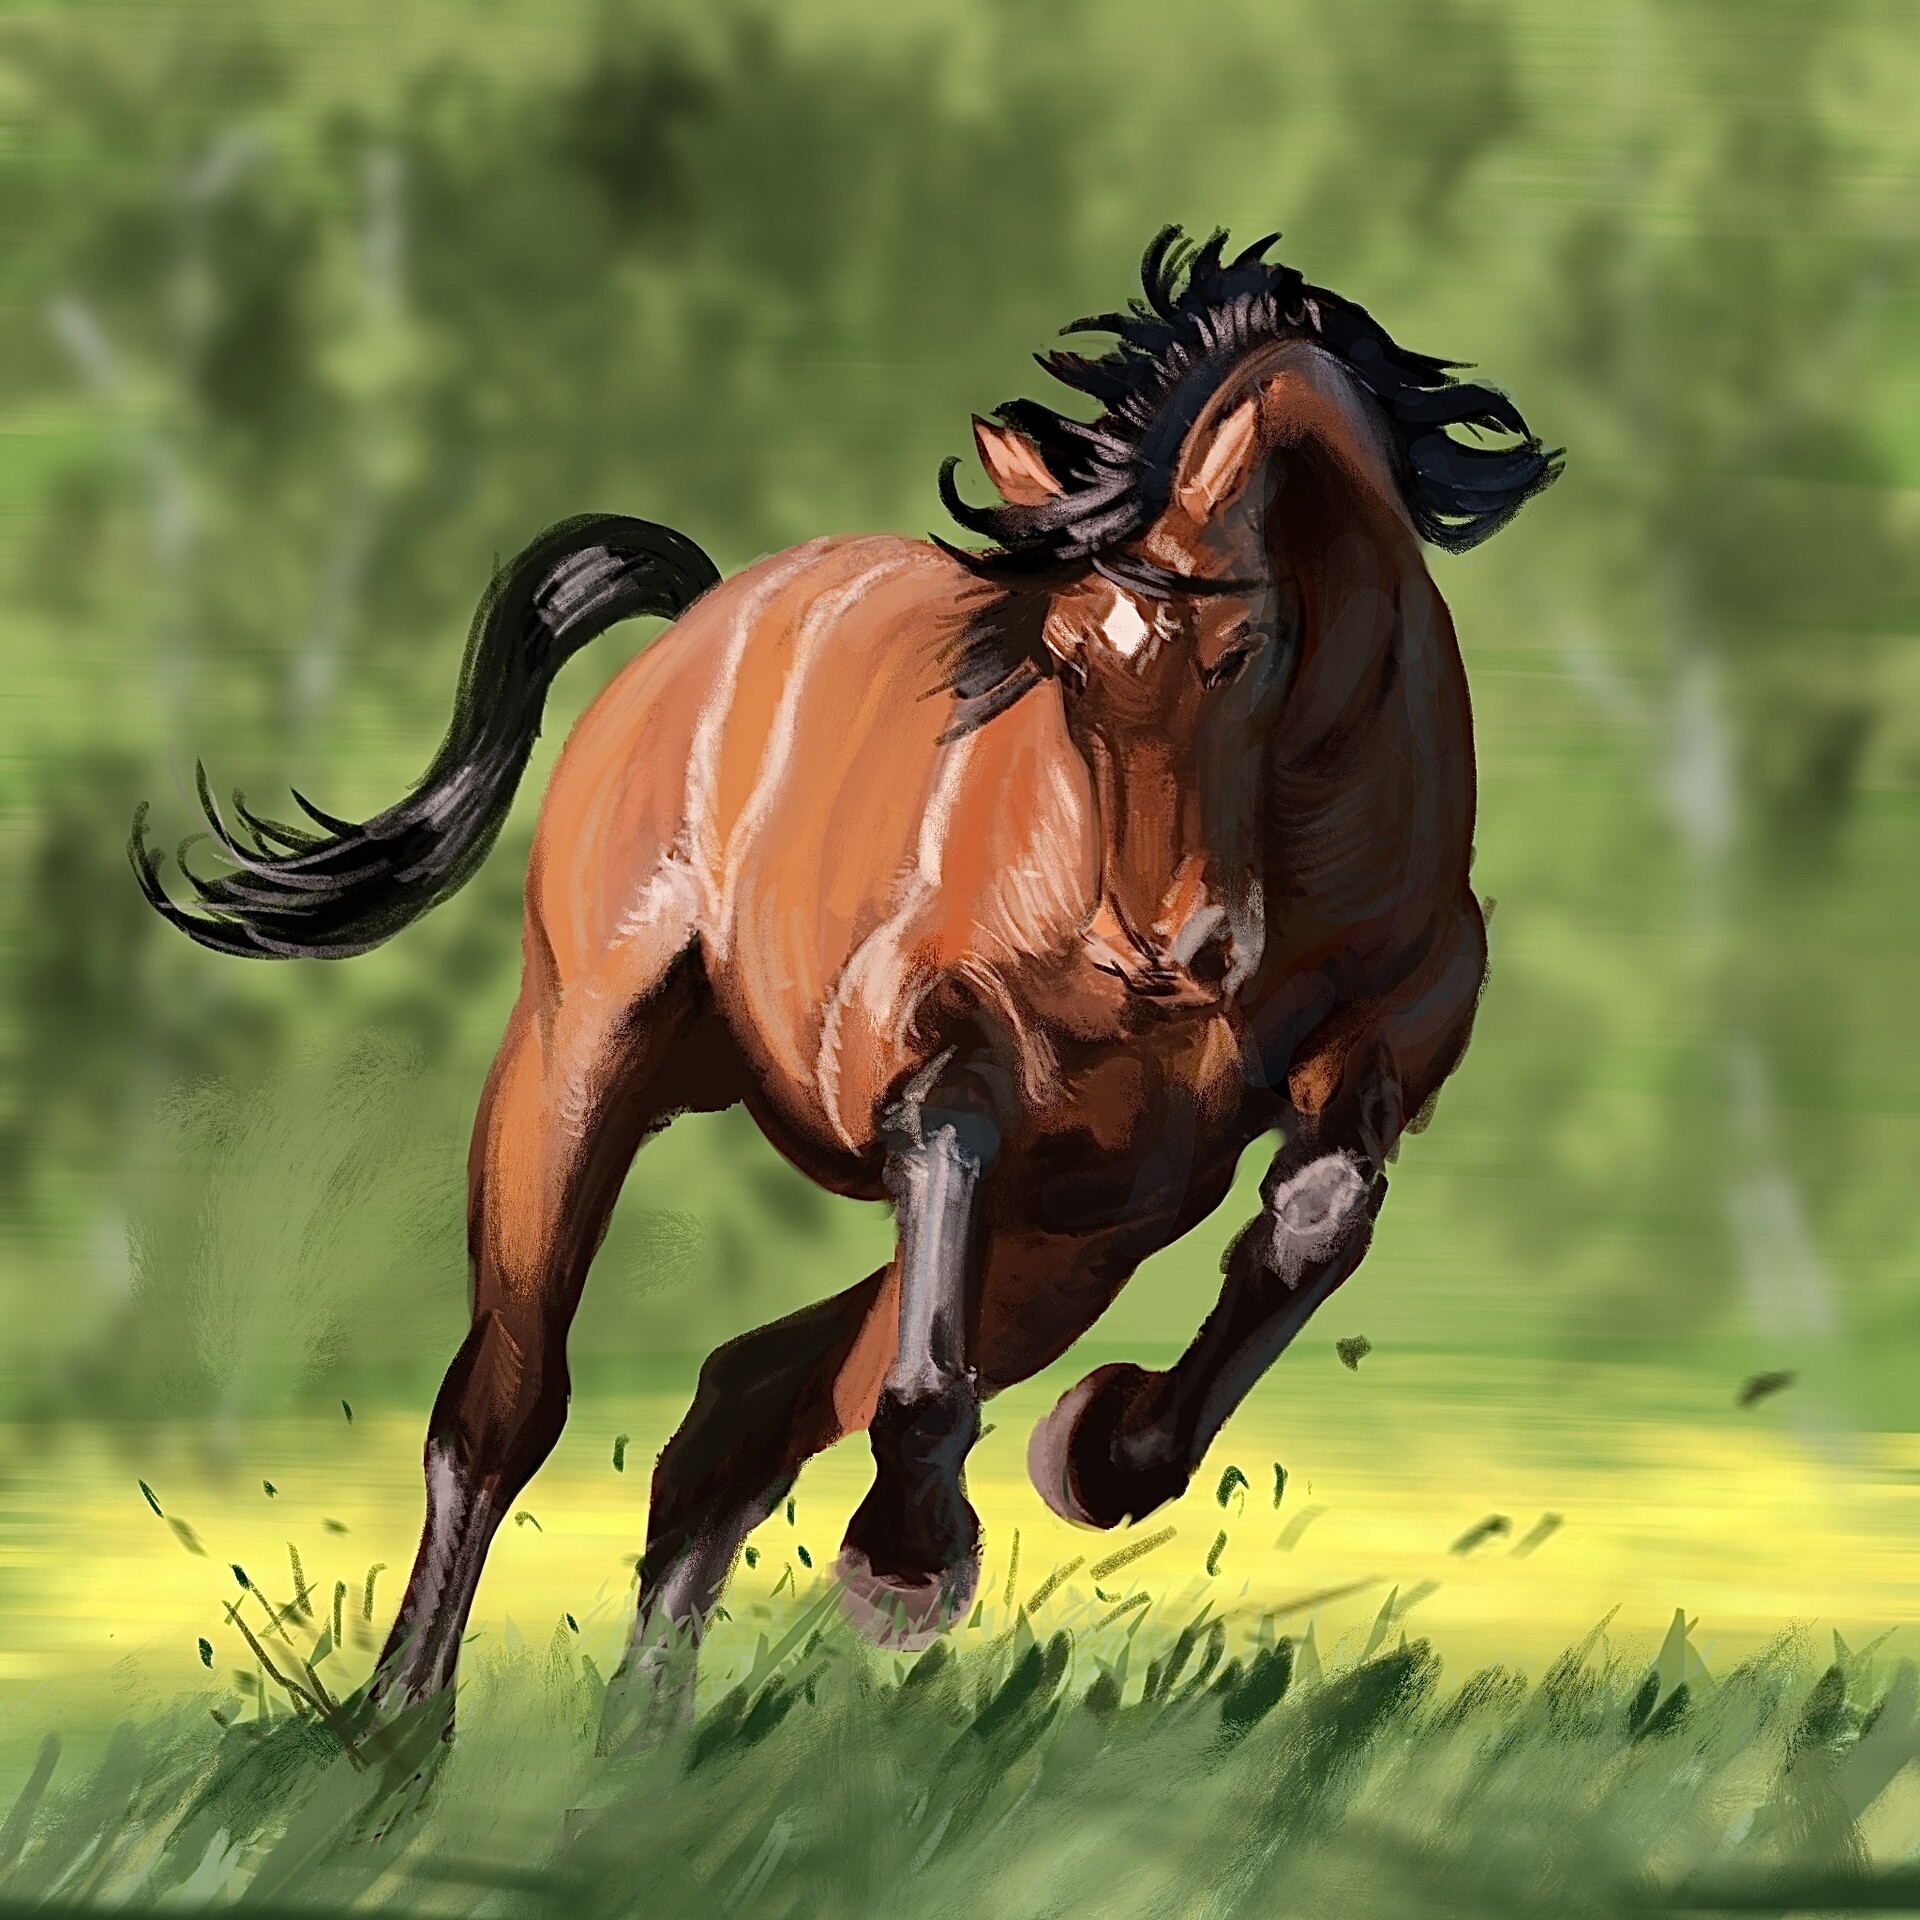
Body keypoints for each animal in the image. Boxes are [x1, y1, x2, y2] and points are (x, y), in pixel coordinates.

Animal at [131, 226, 1558, 1735]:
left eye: (1244, 650)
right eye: (1064, 663)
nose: (1163, 954)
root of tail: (701, 622)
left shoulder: (1357, 1050)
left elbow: (1315, 1218)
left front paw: (1098, 1451)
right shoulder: (938, 1046)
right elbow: (934, 1257)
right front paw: (906, 1567)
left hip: (1075, 1240)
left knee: (735, 1411)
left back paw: (638, 1751)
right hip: (578, 1065)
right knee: (501, 1409)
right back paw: (399, 1733)